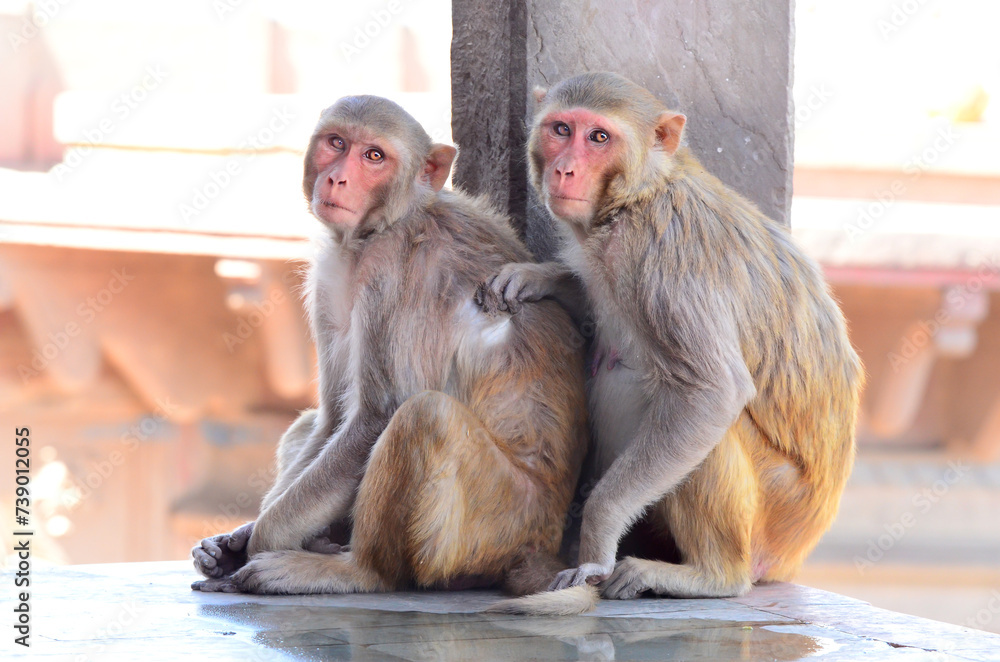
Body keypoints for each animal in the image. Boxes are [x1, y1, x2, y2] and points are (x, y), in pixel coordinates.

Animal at [190, 95, 589, 597]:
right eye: (336, 142)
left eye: (374, 156)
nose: (337, 178)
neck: (377, 229)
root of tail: (544, 546)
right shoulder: (330, 278)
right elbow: (333, 418)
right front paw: (236, 540)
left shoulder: (391, 270)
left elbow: (376, 415)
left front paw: (258, 540)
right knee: (317, 424)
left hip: (497, 525)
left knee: (424, 416)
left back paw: (354, 570)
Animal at [480, 72, 863, 614]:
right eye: (561, 129)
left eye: (599, 137)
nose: (564, 169)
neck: (639, 194)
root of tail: (801, 548)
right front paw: (540, 277)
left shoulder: (664, 252)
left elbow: (713, 392)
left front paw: (596, 542)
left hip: (779, 510)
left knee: (690, 407)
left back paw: (710, 575)